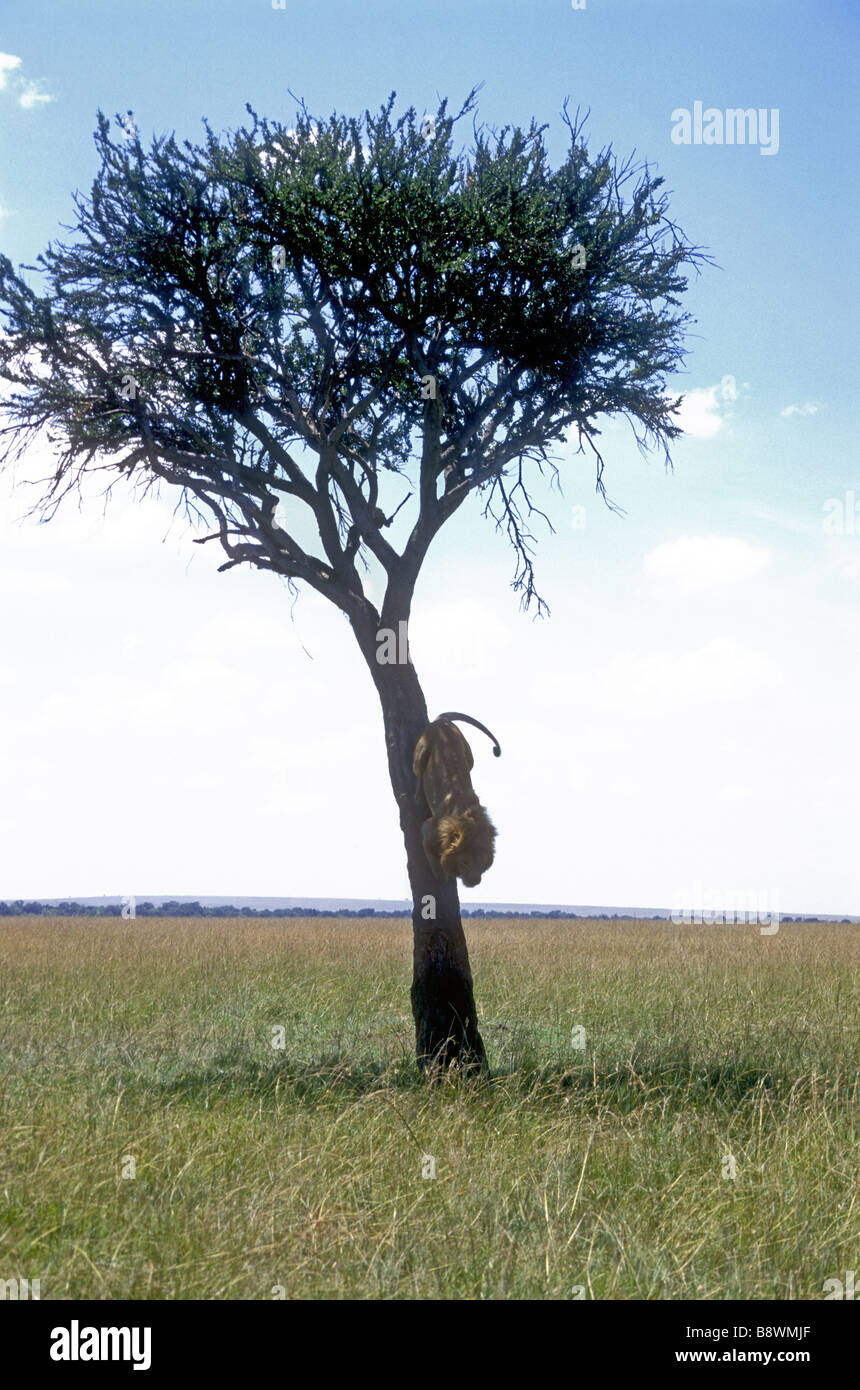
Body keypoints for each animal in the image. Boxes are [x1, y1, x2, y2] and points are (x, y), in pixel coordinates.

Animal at [412, 712, 501, 888]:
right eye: (465, 863)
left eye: (482, 865)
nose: (475, 882)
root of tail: (441, 721)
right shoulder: (428, 827)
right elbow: (431, 855)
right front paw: (440, 875)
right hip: (421, 753)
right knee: (418, 773)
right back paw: (418, 797)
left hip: (470, 758)